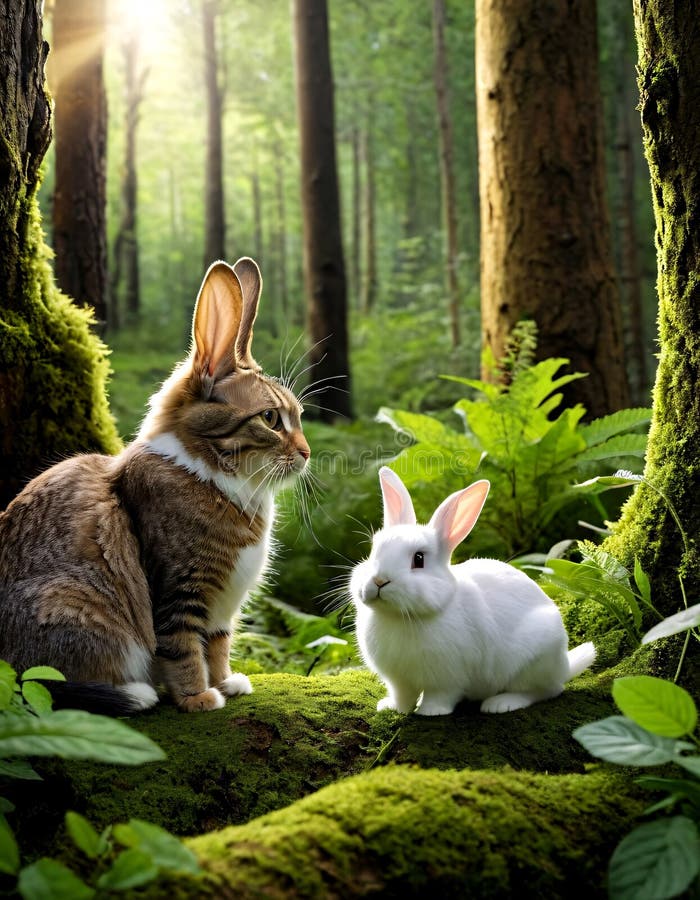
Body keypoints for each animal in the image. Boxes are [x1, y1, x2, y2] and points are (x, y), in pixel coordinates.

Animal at [0, 258, 311, 714]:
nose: (307, 452)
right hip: (70, 601)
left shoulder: (221, 610)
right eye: (271, 418)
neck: (214, 478)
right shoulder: (178, 588)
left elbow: (218, 646)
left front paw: (226, 681)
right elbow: (182, 648)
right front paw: (198, 696)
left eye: (299, 416)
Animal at [351, 467, 595, 715]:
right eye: (374, 551)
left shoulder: (447, 677)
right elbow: (402, 696)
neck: (400, 616)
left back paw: (500, 704)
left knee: (544, 691)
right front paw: (391, 708)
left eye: (418, 559)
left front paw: (430, 711)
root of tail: (564, 666)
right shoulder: (399, 680)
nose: (380, 580)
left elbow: (440, 695)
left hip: (533, 661)